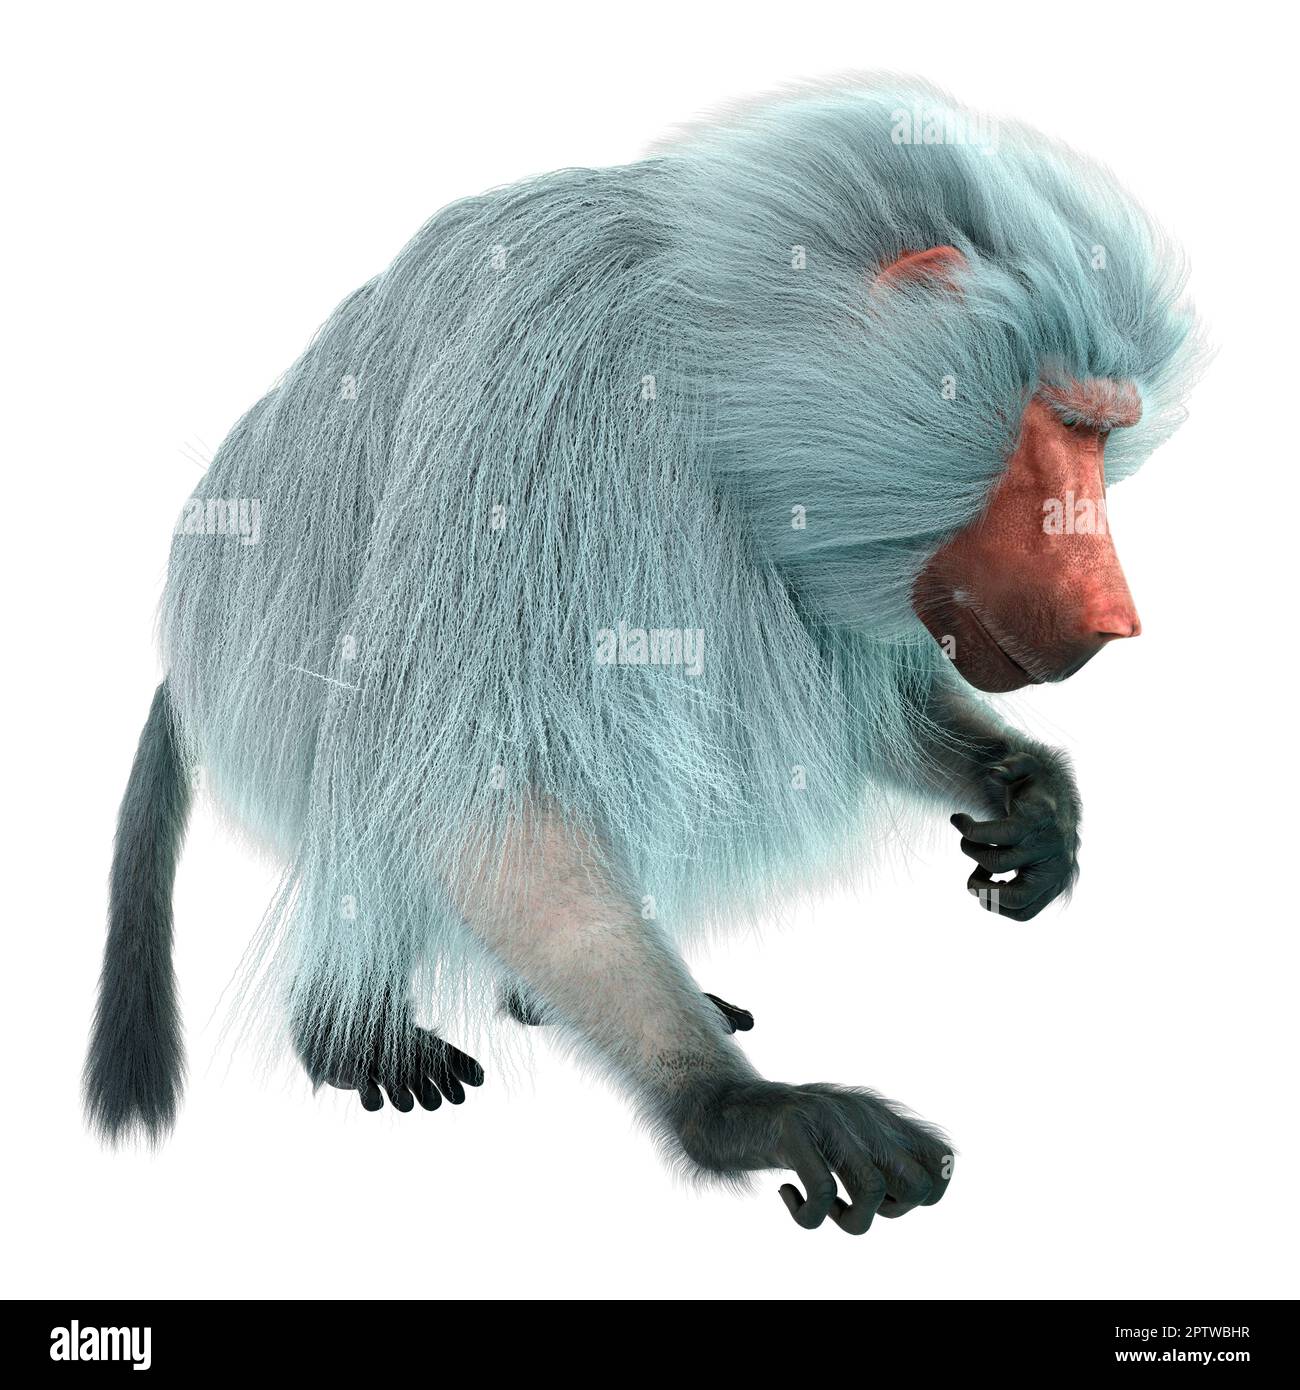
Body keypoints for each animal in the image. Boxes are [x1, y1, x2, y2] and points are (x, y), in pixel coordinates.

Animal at [84, 78, 1200, 1234]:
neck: (714, 354)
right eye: (1066, 431)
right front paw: (732, 1107)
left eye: (1103, 440)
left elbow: (869, 713)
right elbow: (482, 785)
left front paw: (1031, 797)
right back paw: (351, 1027)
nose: (1116, 618)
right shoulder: (555, 414)